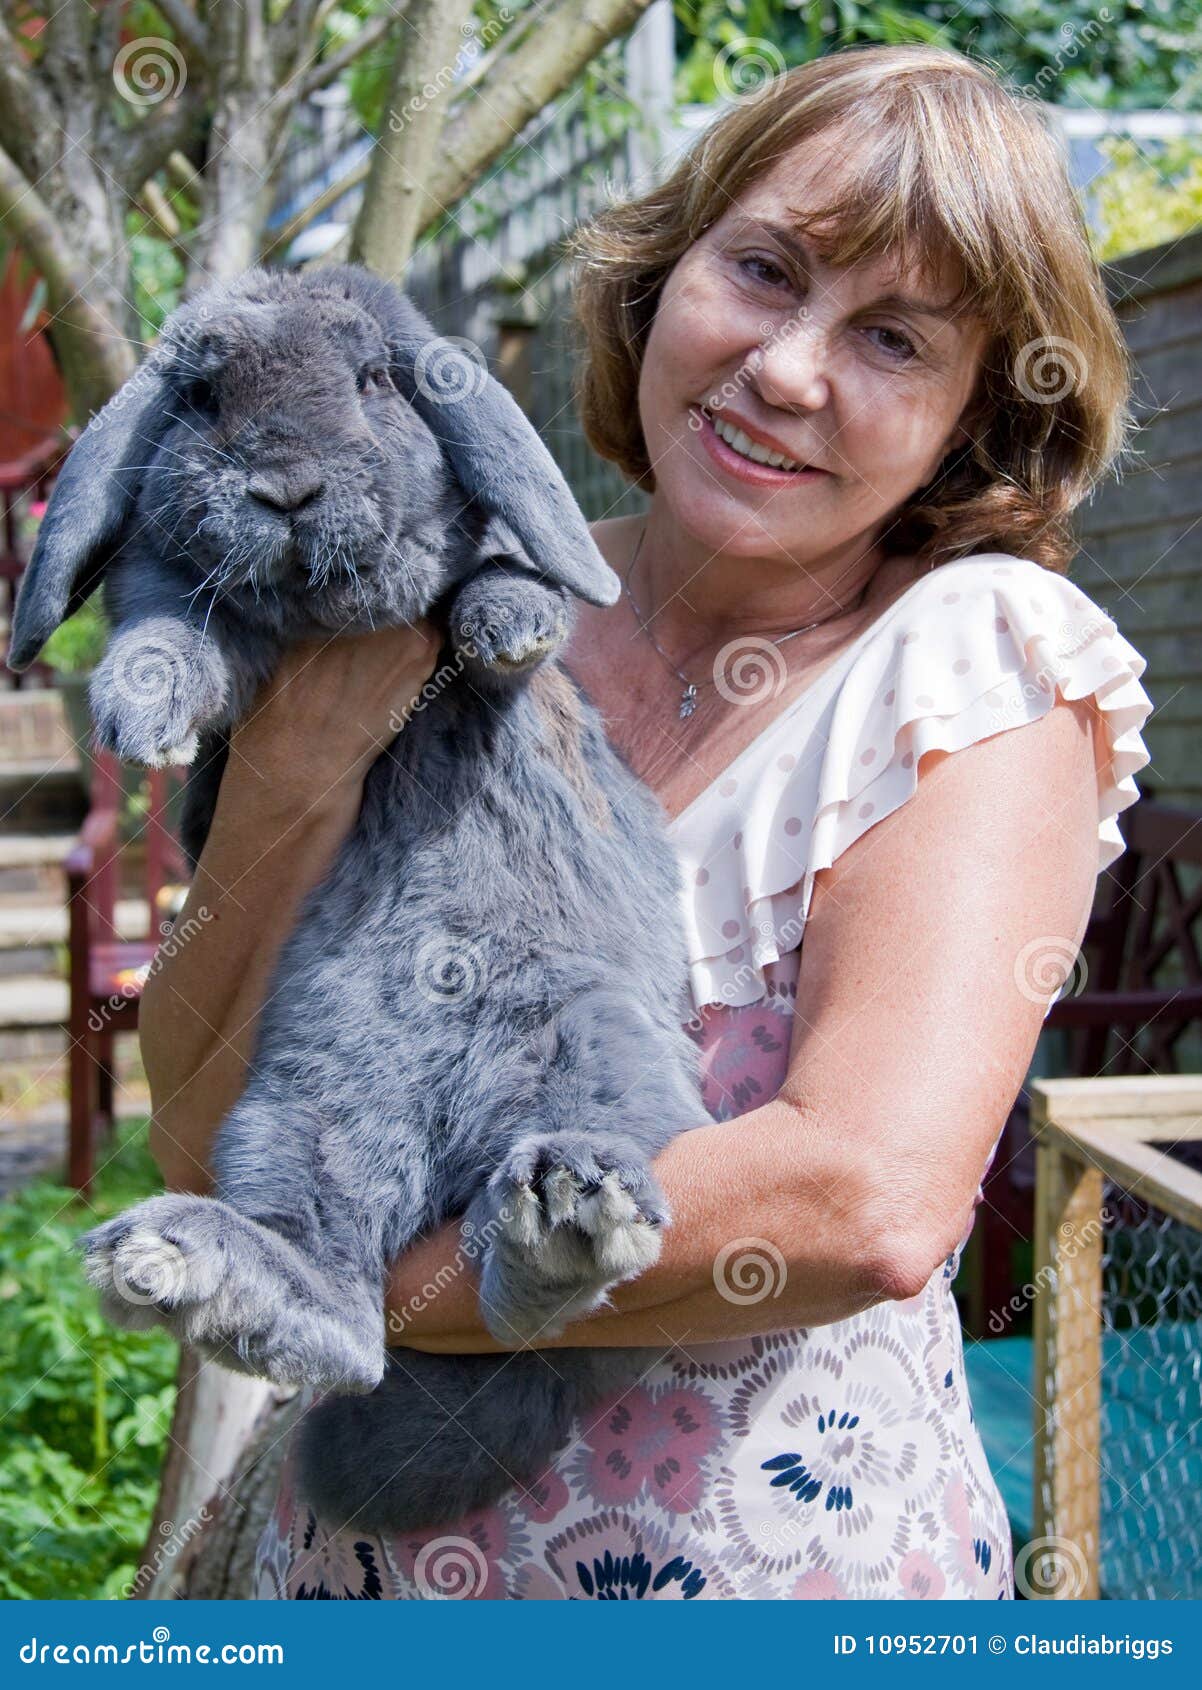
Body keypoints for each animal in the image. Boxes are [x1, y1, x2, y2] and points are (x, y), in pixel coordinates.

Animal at [7, 263, 707, 1533]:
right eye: (202, 394)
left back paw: (565, 1210)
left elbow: (501, 572)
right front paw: (142, 713)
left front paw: (512, 625)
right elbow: (172, 632)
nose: (283, 487)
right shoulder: (191, 608)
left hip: (597, 1048)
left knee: (563, 1243)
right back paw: (200, 1265)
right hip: (301, 1111)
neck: (327, 612)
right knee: (345, 1317)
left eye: (379, 379)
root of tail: (453, 1146)